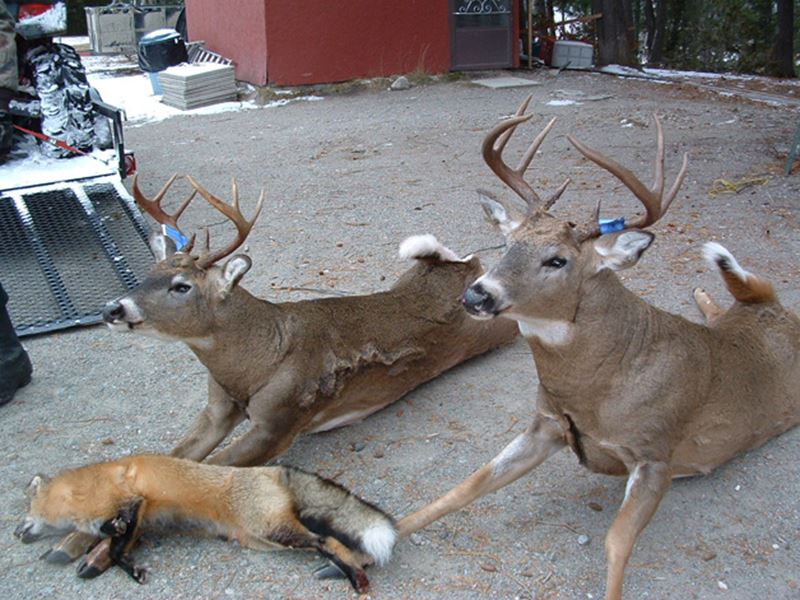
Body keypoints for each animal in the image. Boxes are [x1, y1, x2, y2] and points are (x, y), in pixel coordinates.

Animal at [45, 173, 518, 578]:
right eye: (147, 274)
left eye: (181, 285)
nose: (112, 309)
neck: (250, 362)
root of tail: (466, 267)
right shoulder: (217, 408)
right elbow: (169, 459)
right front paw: (75, 536)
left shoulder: (278, 423)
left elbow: (191, 478)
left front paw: (88, 550)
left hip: (499, 328)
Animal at [395, 97, 800, 599]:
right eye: (507, 243)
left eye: (557, 260)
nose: (477, 295)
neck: (594, 392)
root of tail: (770, 310)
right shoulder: (546, 424)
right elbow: (468, 485)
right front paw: (359, 545)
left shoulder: (655, 453)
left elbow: (617, 542)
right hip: (738, 310)